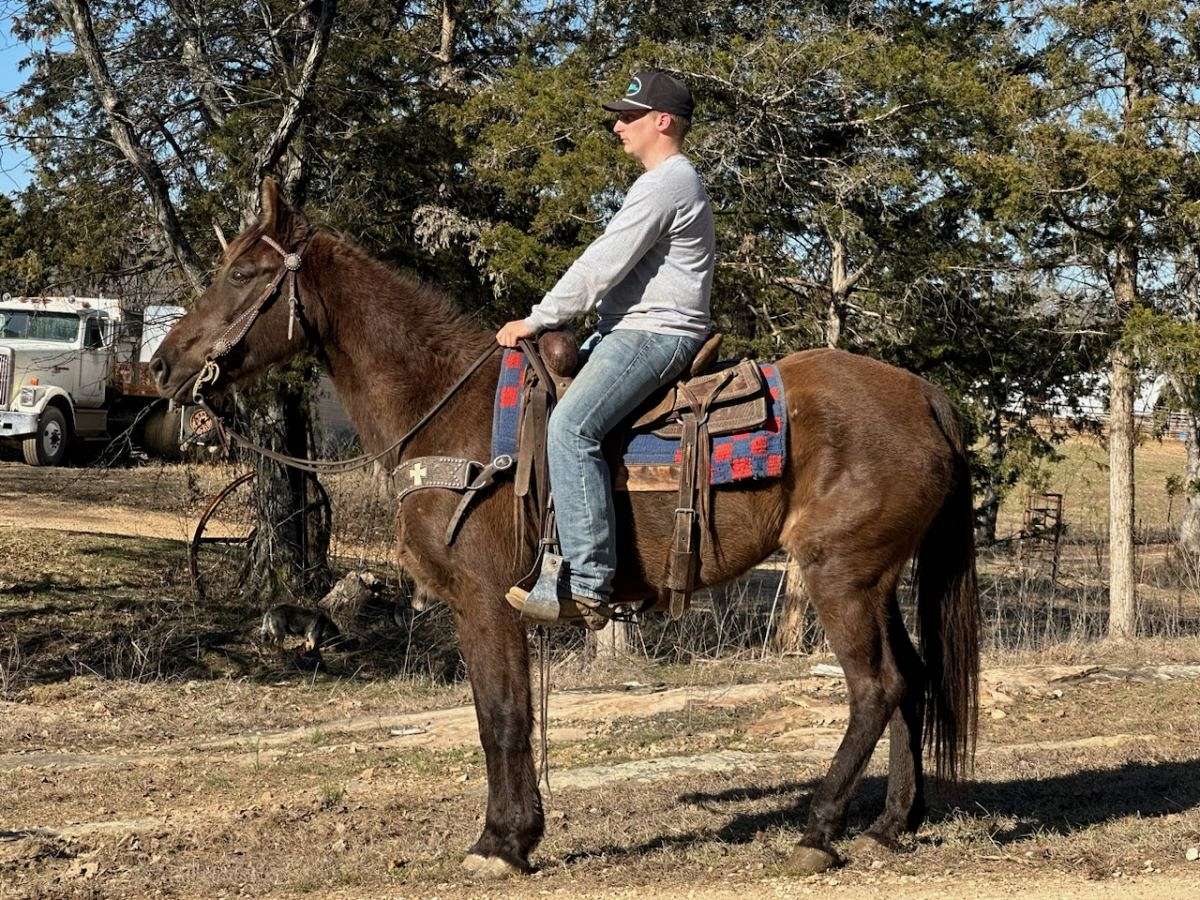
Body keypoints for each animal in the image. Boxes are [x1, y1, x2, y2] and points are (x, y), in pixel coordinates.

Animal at [150, 179, 978, 878]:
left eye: (244, 275)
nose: (162, 366)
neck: (446, 409)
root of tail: (923, 396)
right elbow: (497, 716)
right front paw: (513, 834)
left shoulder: (484, 599)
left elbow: (503, 717)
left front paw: (503, 842)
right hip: (875, 579)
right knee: (911, 680)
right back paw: (890, 825)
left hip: (839, 575)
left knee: (875, 687)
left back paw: (818, 831)